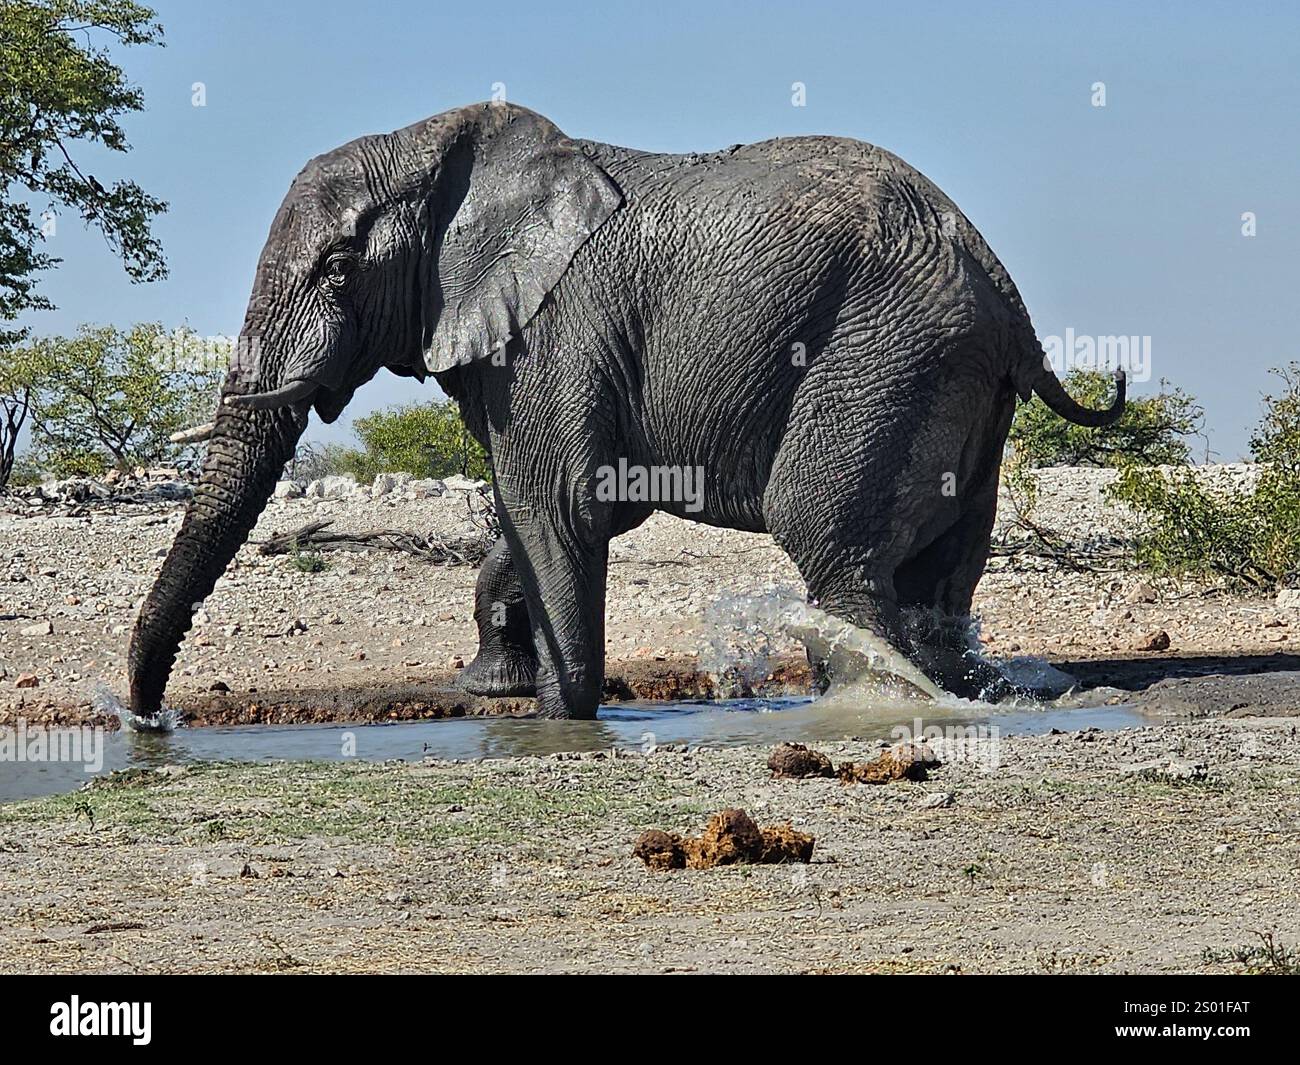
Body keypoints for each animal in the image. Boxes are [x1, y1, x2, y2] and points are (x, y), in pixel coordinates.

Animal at [127, 101, 1124, 722]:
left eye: (339, 268)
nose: (147, 721)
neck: (441, 145)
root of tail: (1000, 285)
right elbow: (558, 516)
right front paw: (495, 686)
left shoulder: (556, 330)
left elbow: (558, 508)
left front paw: (558, 716)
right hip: (958, 382)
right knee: (942, 570)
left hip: (885, 353)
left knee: (833, 542)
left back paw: (871, 704)